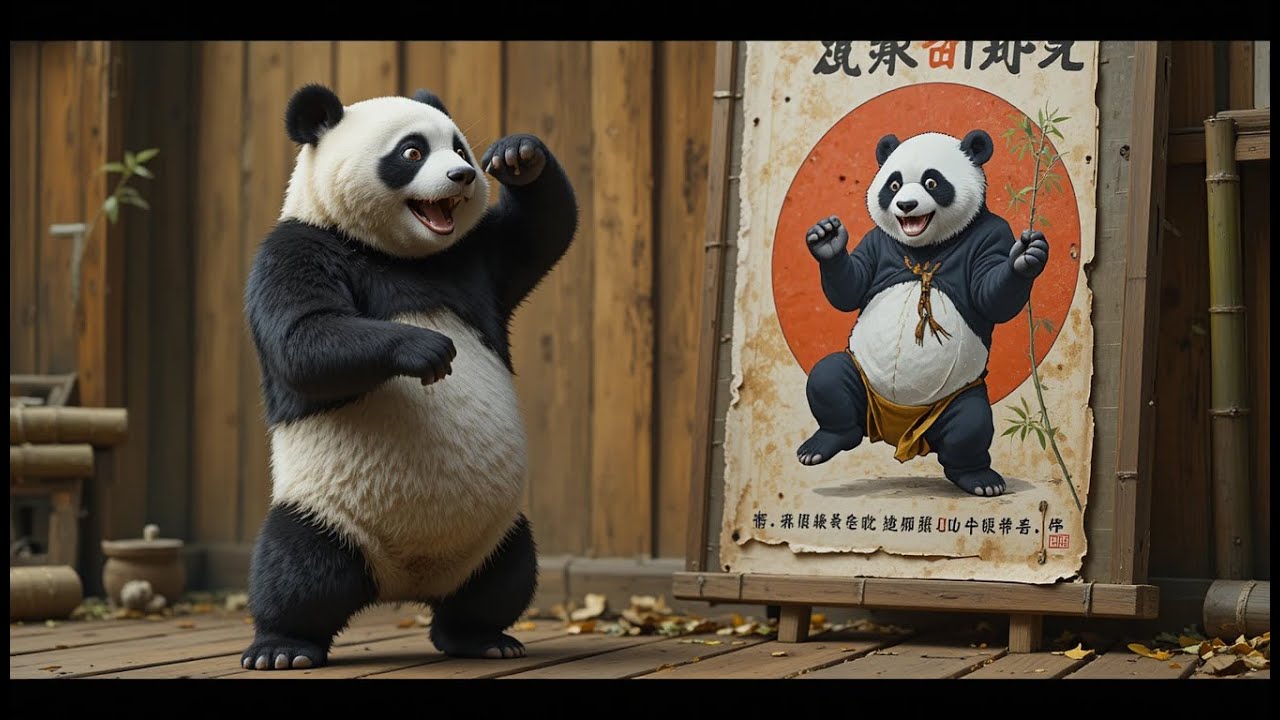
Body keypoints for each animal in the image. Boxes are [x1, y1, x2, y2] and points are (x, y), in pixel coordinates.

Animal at [239, 84, 578, 670]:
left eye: (461, 149)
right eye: (412, 152)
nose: (462, 176)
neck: (395, 254)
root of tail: (405, 581)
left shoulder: (475, 258)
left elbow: (543, 233)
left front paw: (519, 156)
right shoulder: (300, 246)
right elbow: (303, 338)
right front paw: (426, 349)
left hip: (495, 532)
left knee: (506, 577)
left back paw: (482, 637)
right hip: (326, 510)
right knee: (297, 569)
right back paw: (282, 648)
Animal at [795, 129, 1049, 498]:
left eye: (932, 182)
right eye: (894, 184)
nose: (906, 206)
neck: (926, 247)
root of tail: (894, 429)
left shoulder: (991, 234)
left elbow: (990, 295)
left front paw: (1025, 257)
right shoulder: (877, 243)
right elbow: (851, 287)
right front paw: (826, 239)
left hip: (957, 395)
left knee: (970, 425)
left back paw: (980, 479)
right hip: (862, 376)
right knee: (829, 378)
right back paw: (821, 444)